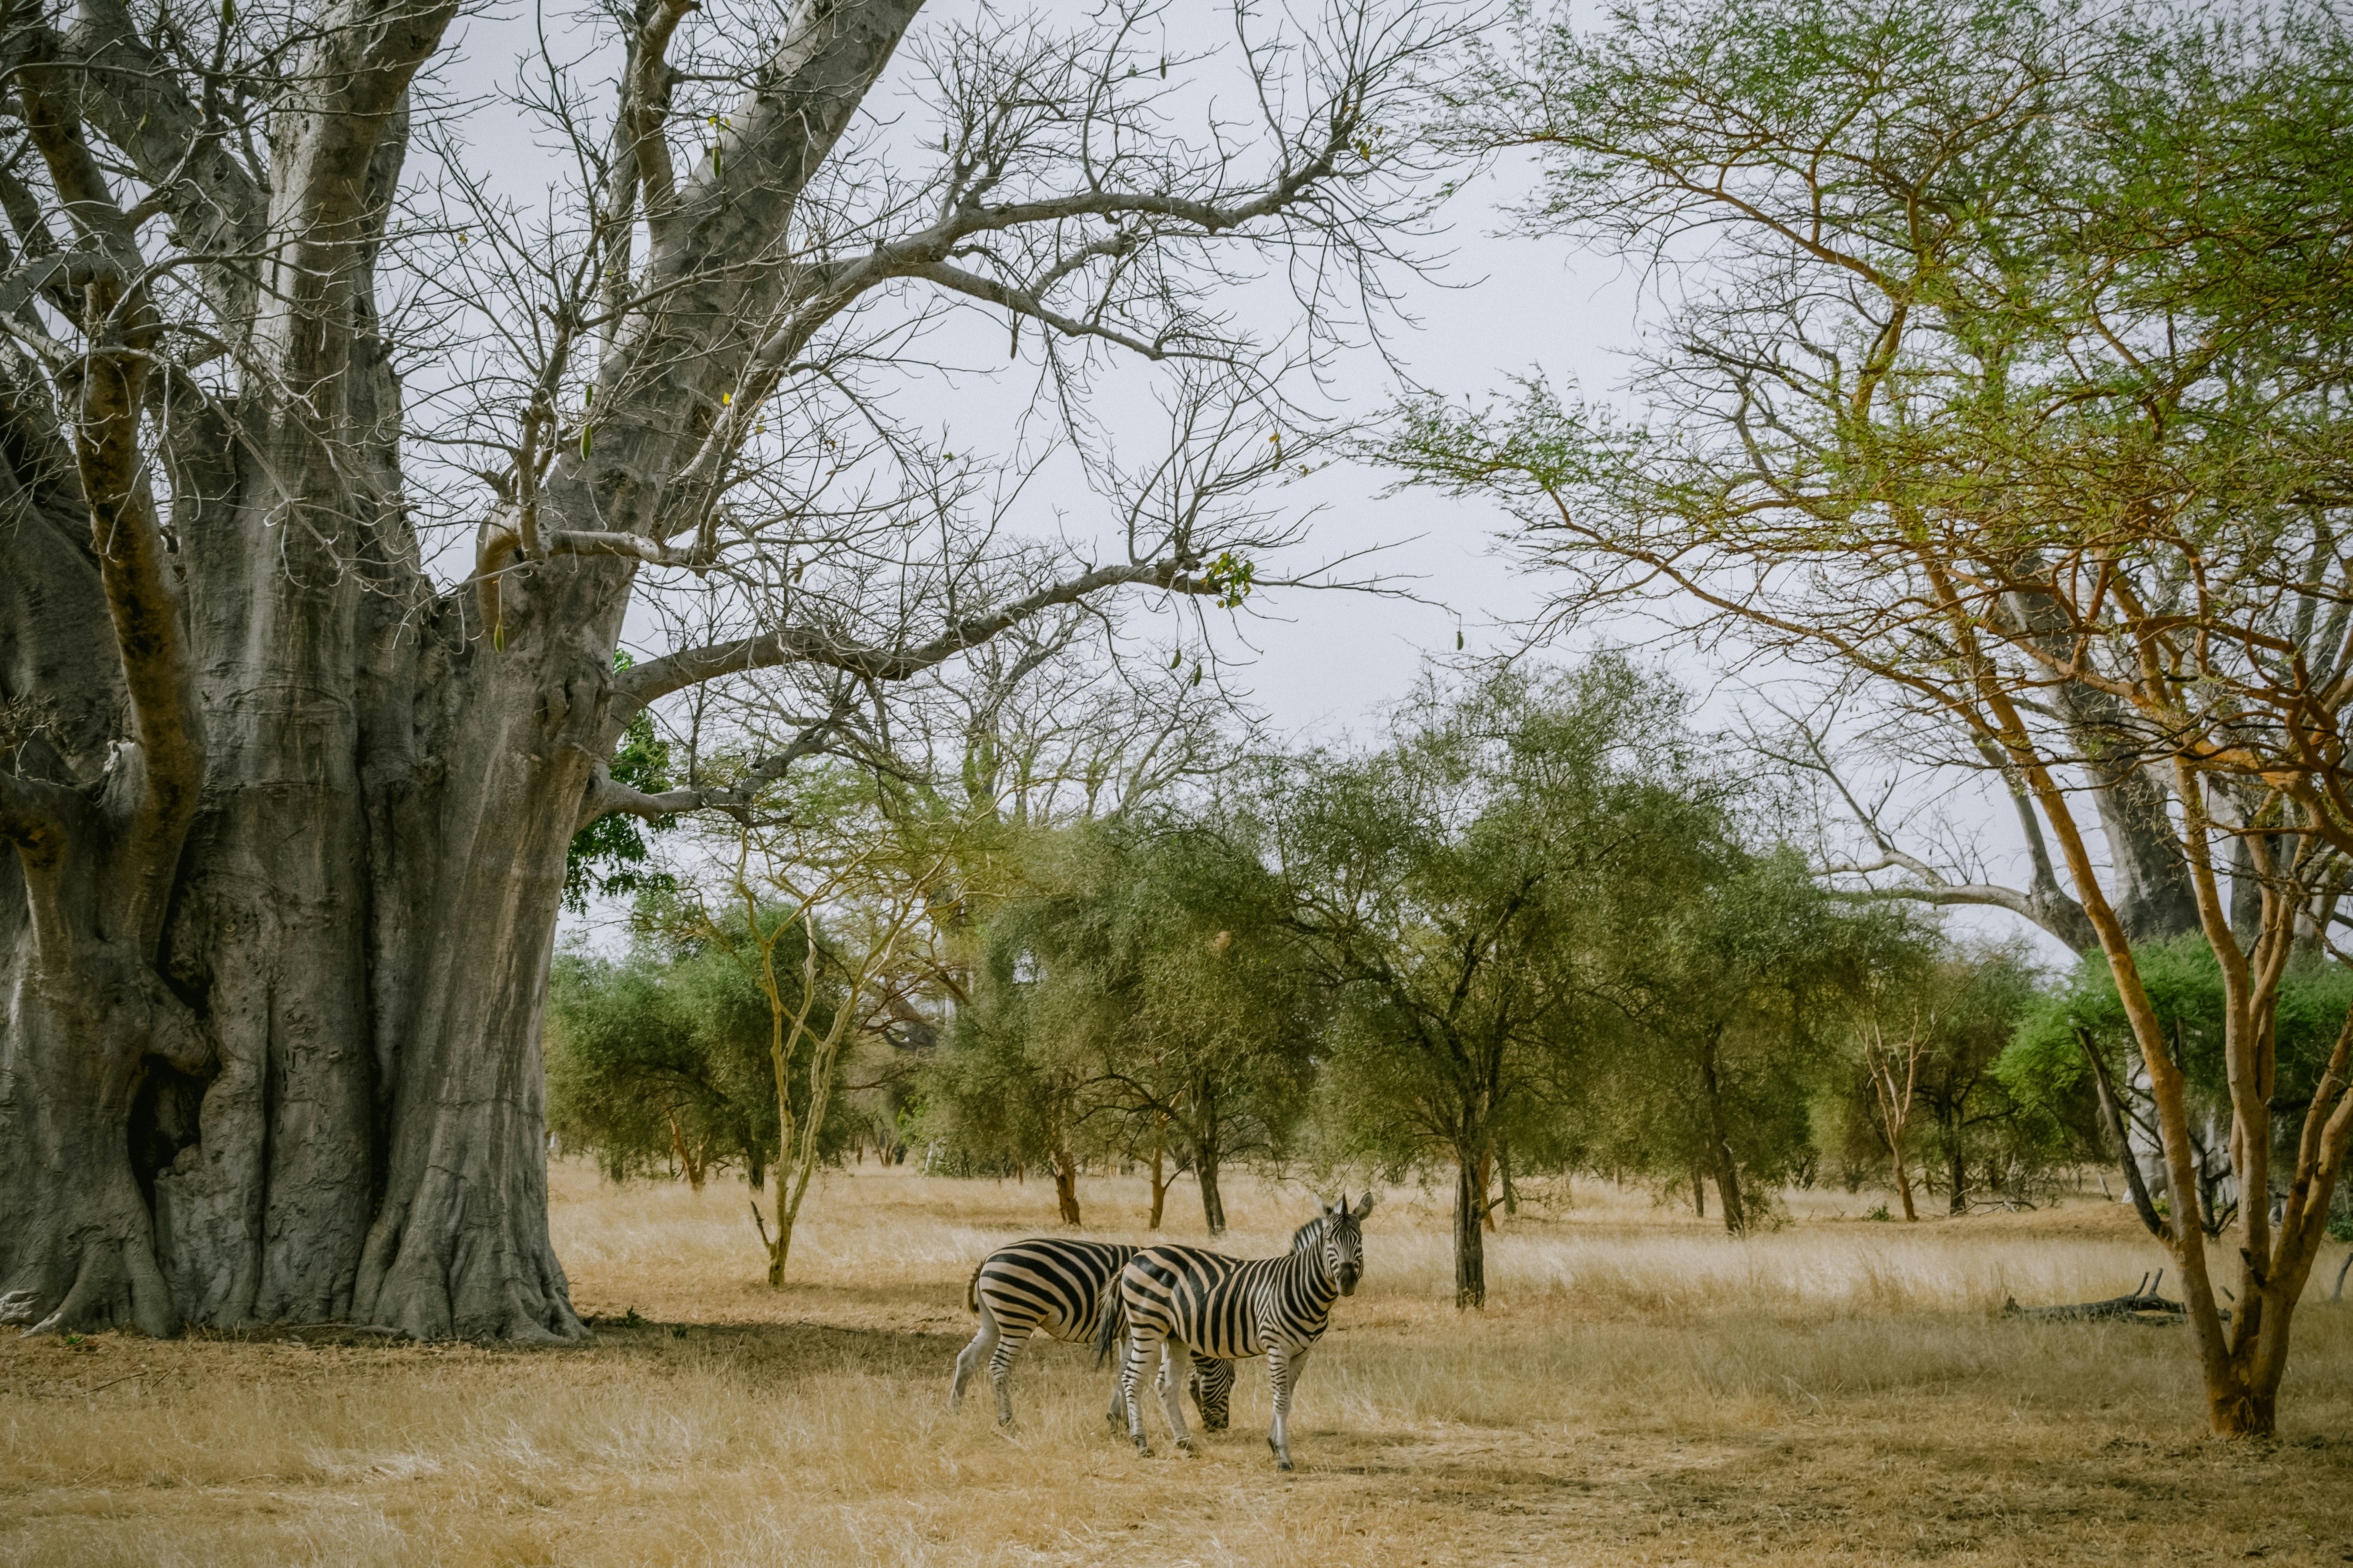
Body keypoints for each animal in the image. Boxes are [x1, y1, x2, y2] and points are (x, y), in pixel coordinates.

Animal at [952, 1239, 1237, 1430]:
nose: (1220, 1427)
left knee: (966, 1359)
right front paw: (1121, 1420)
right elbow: (1125, 1370)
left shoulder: (1125, 1332)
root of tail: (989, 1257)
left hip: (993, 1322)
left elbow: (1123, 1369)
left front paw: (1121, 1419)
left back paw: (953, 1409)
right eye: (1233, 1380)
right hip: (1019, 1317)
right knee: (999, 1366)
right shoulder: (1136, 1329)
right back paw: (1008, 1421)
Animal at [1112, 1193, 1375, 1471]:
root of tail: (1136, 1258)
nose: (1347, 1281)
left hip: (1175, 1336)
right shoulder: (1277, 1347)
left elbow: (1287, 1397)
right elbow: (1282, 1400)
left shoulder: (1303, 1352)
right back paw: (1142, 1444)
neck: (1299, 1286)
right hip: (1146, 1325)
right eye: (1328, 1241)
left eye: (1359, 1240)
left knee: (1166, 1385)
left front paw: (1273, 1445)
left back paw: (1185, 1443)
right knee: (1132, 1378)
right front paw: (1284, 1456)